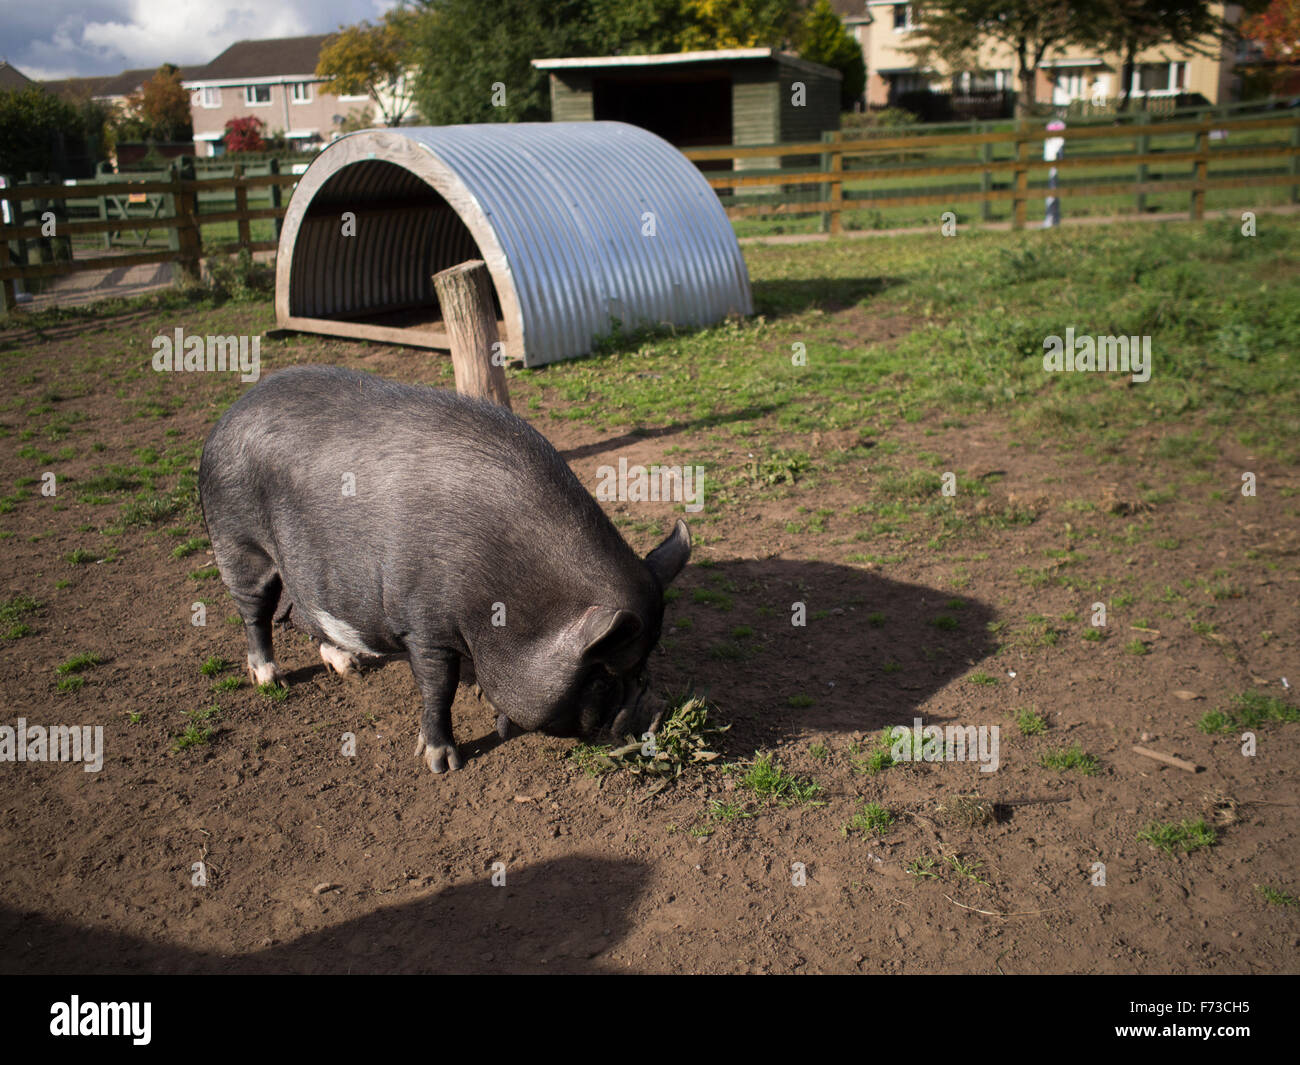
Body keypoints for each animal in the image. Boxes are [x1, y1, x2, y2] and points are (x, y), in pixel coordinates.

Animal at [198, 365, 690, 774]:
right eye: (603, 675)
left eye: (644, 662)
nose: (654, 716)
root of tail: (227, 417)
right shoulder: (423, 624)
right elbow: (438, 688)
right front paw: (442, 763)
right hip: (237, 541)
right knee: (255, 612)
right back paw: (270, 680)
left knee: (304, 613)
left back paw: (349, 667)